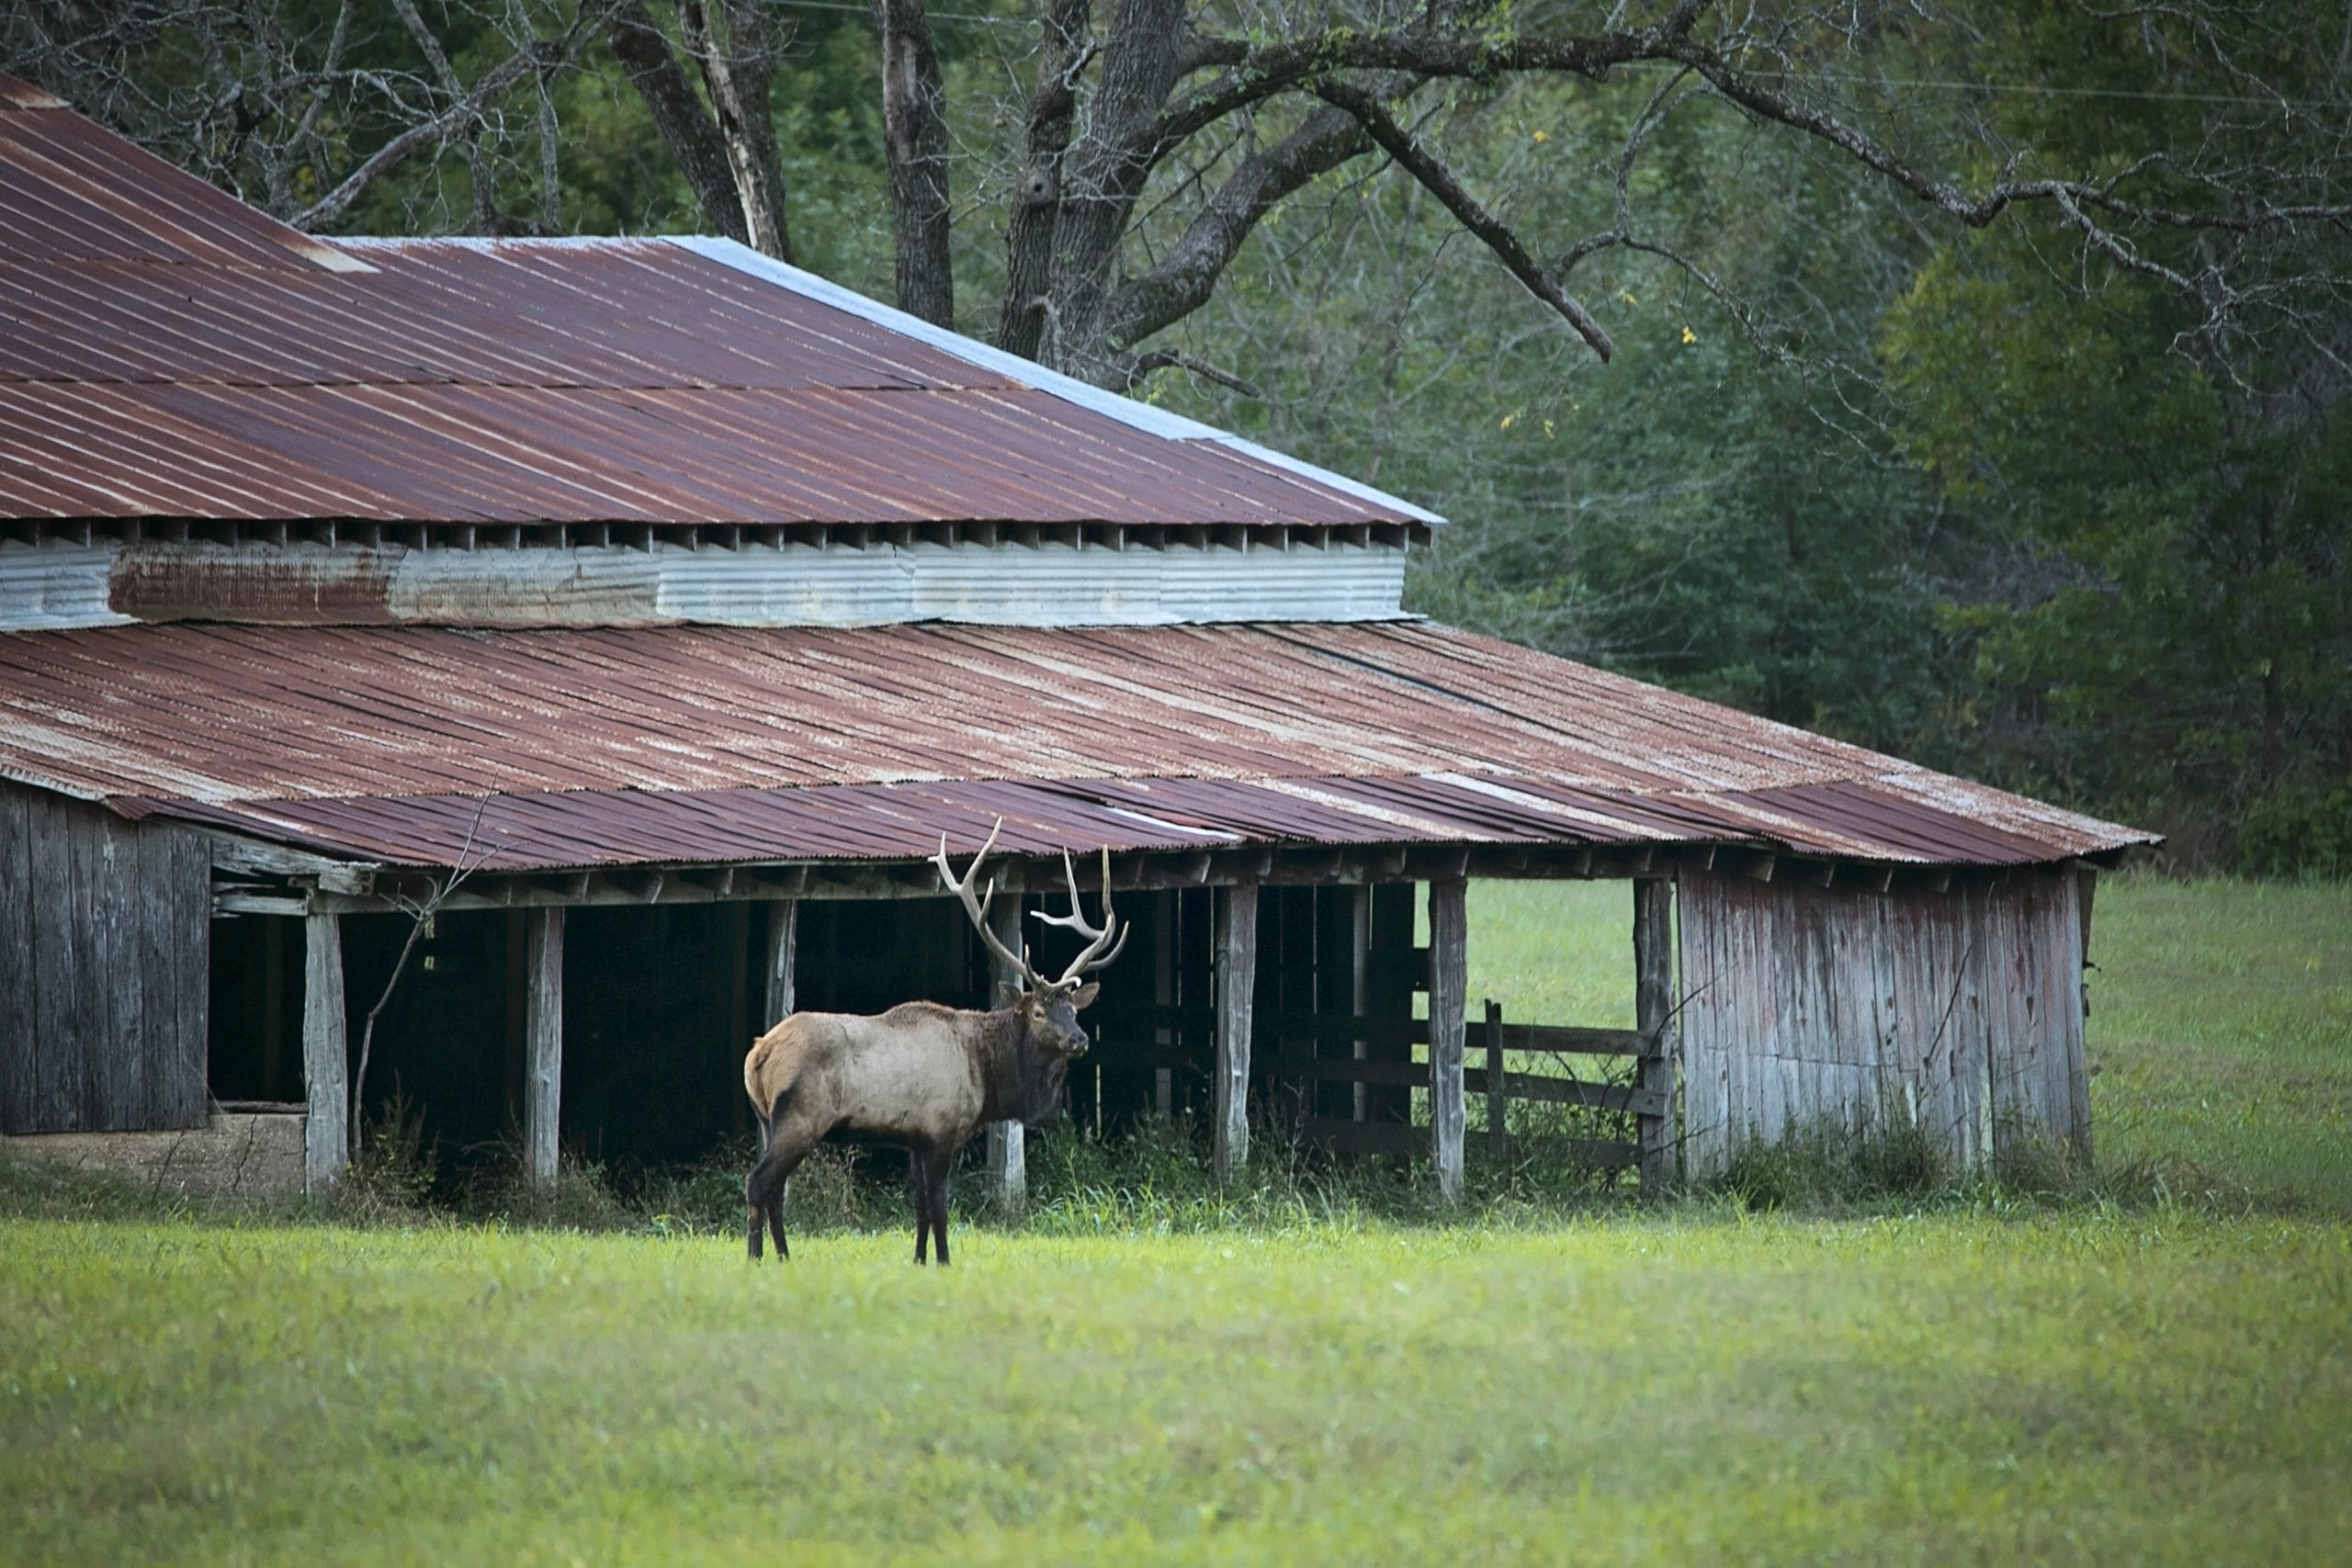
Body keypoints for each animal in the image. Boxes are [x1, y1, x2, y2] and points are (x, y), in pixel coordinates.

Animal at [741, 818, 1126, 1265]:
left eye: (1074, 1010)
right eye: (1038, 1012)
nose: (1080, 1040)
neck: (987, 1076)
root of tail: (757, 1054)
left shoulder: (916, 1139)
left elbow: (920, 1207)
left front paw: (919, 1260)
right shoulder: (942, 1129)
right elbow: (940, 1206)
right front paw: (944, 1261)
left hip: (768, 1120)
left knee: (774, 1191)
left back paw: (783, 1257)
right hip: (801, 1116)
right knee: (758, 1182)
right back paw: (755, 1257)